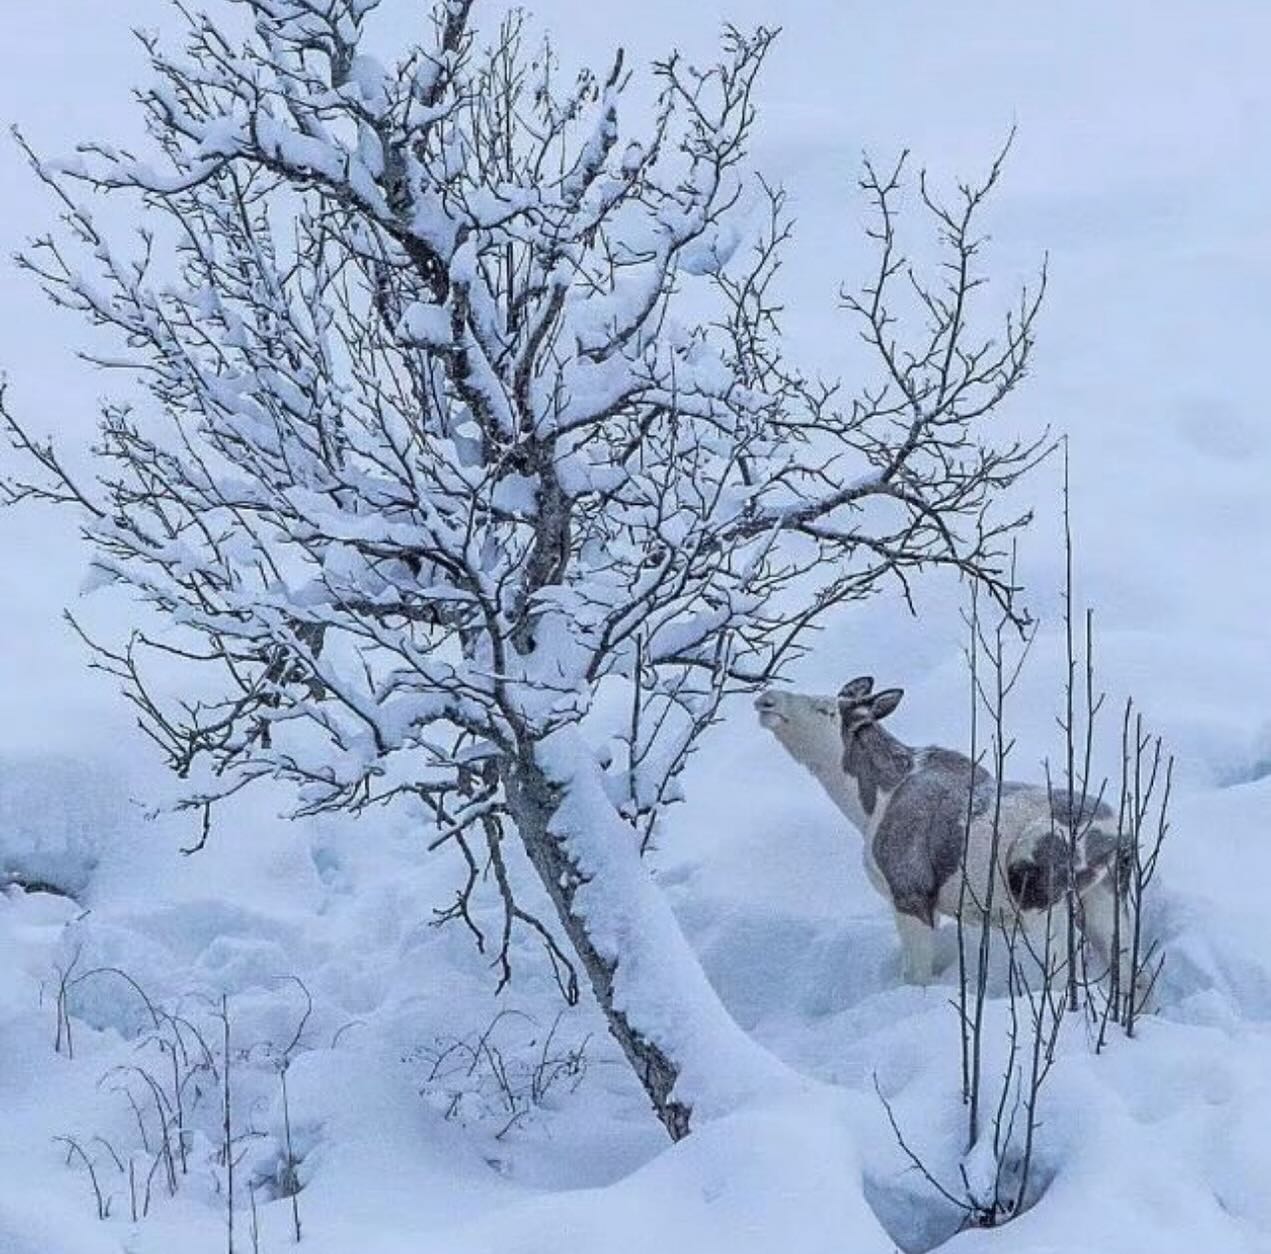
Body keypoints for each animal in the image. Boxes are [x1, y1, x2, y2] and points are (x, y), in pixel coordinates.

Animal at [755, 676, 1130, 987]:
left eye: (824, 709)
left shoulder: (911, 892)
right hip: (1105, 897)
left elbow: (917, 976)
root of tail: (1118, 839)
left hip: (1035, 897)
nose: (766, 700)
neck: (865, 804)